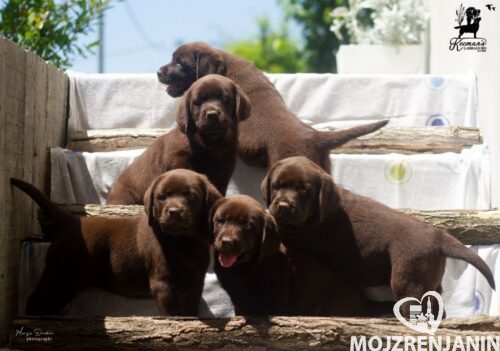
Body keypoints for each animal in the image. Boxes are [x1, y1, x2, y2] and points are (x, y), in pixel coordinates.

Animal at [9, 170, 221, 316]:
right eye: (162, 197)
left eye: (191, 196)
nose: (174, 212)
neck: (184, 242)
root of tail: (72, 221)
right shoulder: (163, 283)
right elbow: (174, 314)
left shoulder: (194, 282)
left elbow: (190, 310)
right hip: (63, 274)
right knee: (37, 300)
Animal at [108, 75, 252, 206]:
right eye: (197, 103)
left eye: (225, 99)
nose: (212, 114)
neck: (212, 141)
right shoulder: (179, 159)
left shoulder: (225, 167)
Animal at [262, 157, 496, 316]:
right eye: (276, 186)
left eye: (303, 191)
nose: (283, 206)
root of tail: (438, 236)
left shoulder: (296, 230)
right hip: (429, 278)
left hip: (408, 278)